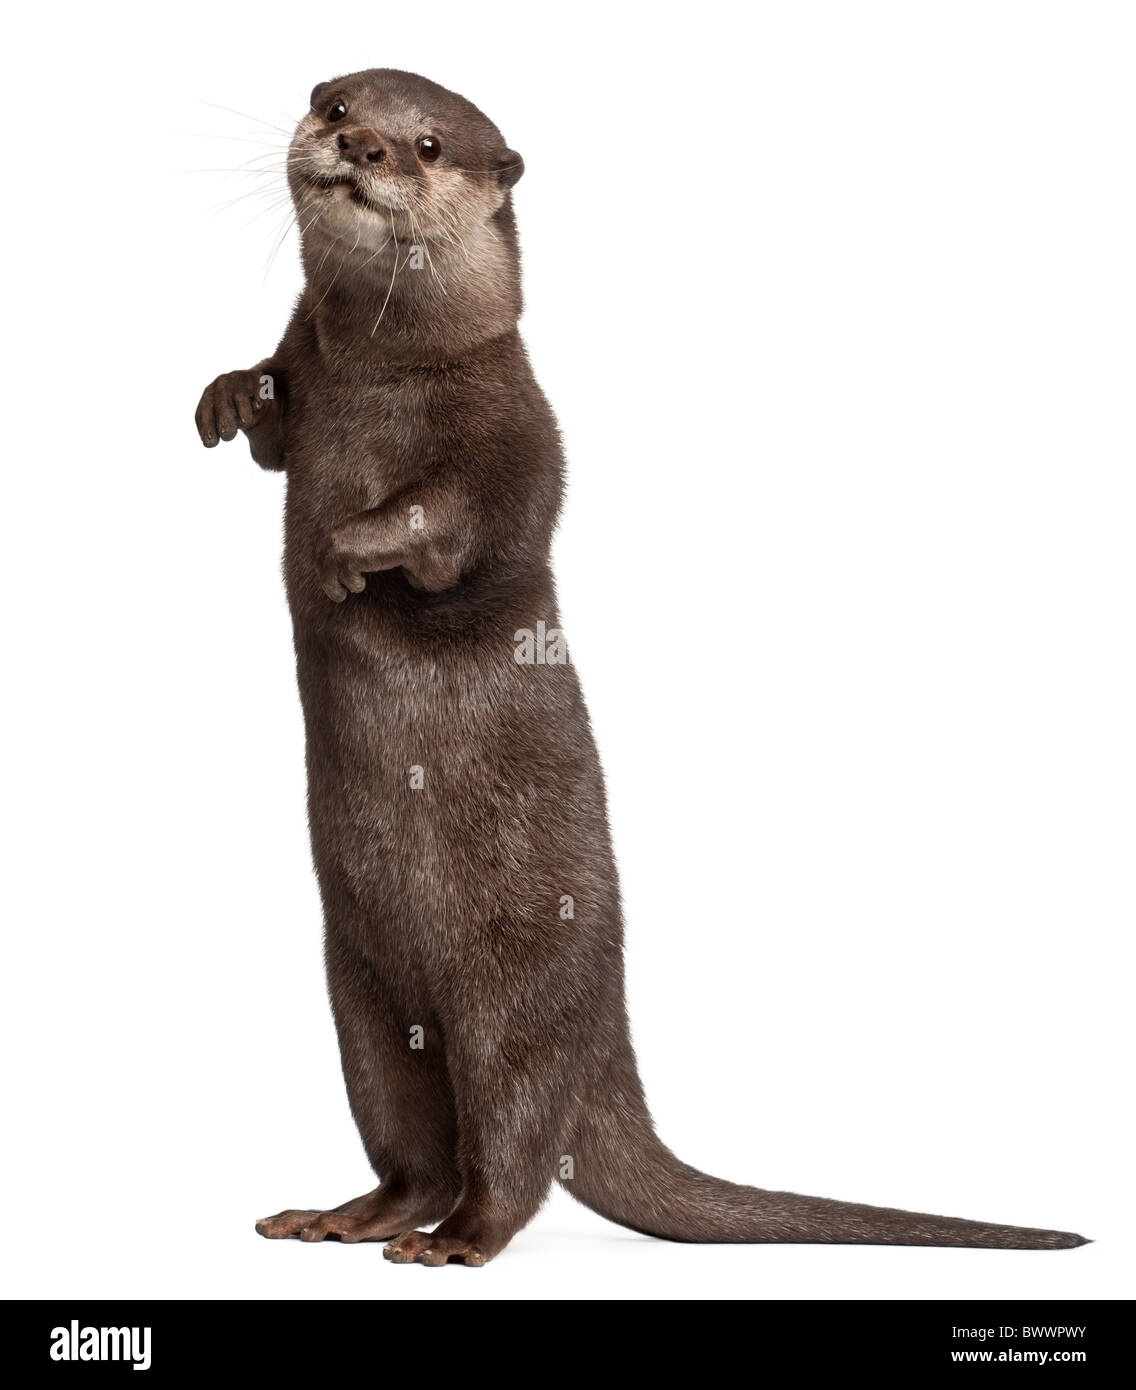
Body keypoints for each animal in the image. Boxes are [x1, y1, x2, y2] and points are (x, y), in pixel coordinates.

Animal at [195, 69, 1085, 1265]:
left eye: (426, 145)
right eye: (336, 105)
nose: (364, 145)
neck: (383, 373)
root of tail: (607, 1043)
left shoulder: (516, 429)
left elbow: (462, 531)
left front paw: (348, 549)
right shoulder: (306, 352)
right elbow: (270, 422)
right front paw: (231, 398)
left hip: (516, 1002)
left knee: (512, 1150)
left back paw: (455, 1241)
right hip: (360, 1003)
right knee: (411, 1151)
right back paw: (344, 1216)